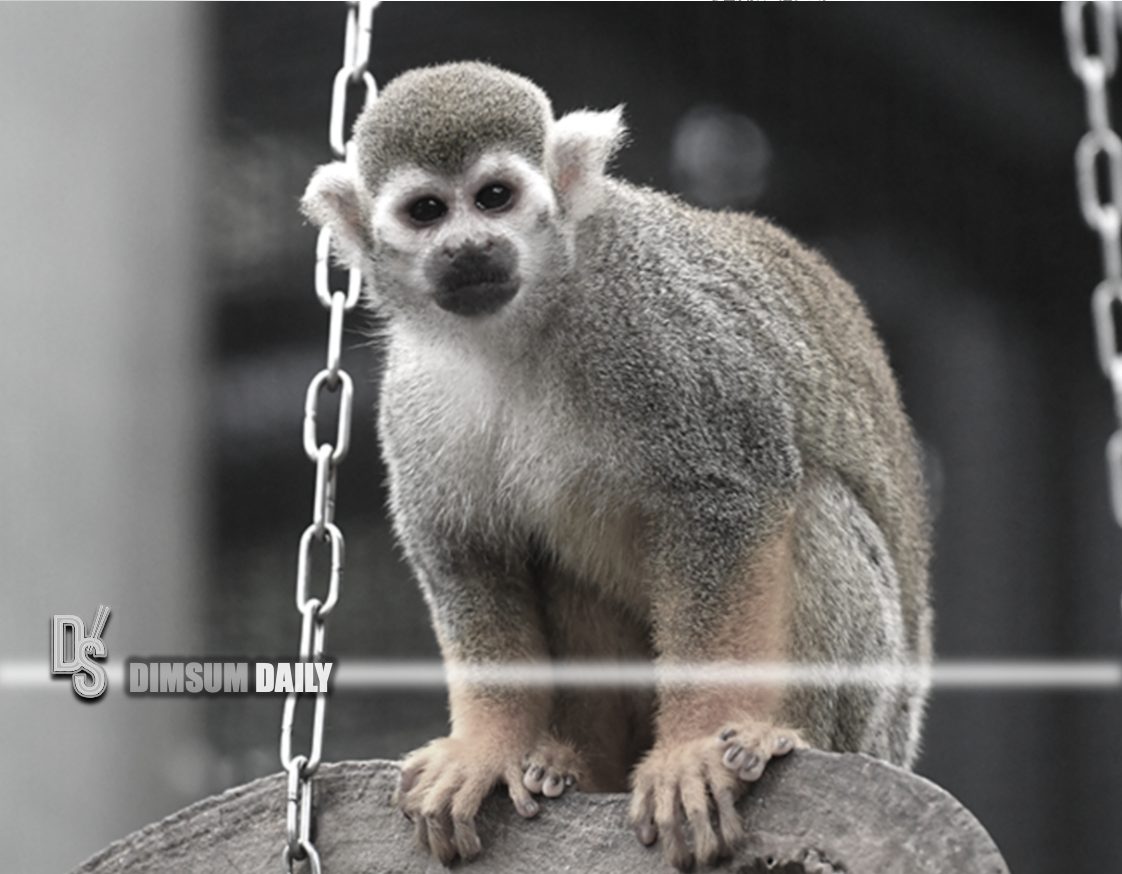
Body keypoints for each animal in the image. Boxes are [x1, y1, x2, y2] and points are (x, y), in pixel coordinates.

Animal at [302, 61, 932, 870]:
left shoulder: (653, 321)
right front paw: (487, 745)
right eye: (427, 211)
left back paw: (775, 732)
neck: (521, 325)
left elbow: (729, 493)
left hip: (872, 721)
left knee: (815, 504)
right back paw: (570, 762)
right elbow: (467, 552)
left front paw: (695, 744)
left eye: (494, 197)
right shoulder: (413, 394)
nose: (468, 248)